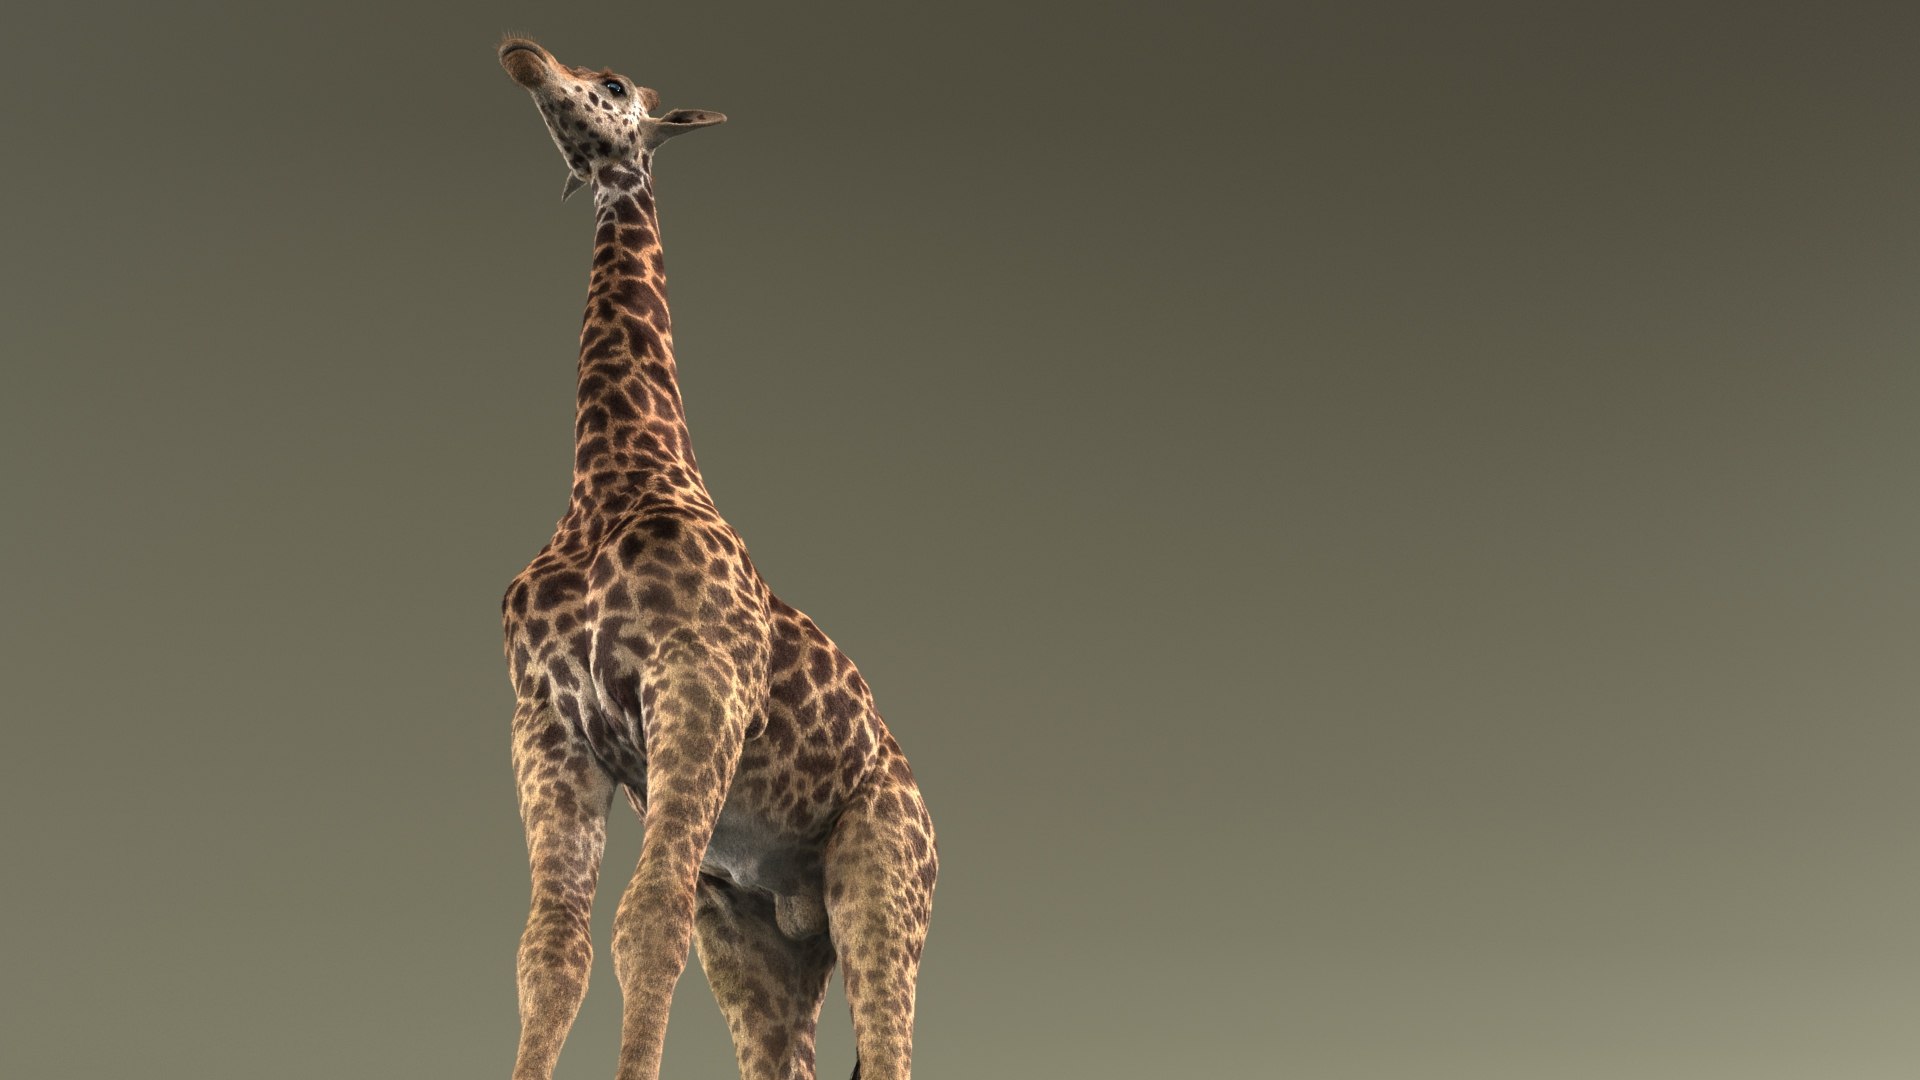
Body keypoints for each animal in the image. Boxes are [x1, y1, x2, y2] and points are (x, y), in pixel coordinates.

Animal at [493, 38, 936, 1080]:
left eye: (612, 88)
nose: (525, 55)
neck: (612, 473)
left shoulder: (696, 675)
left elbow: (642, 920)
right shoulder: (548, 725)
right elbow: (552, 950)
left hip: (882, 883)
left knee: (889, 1048)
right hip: (757, 930)